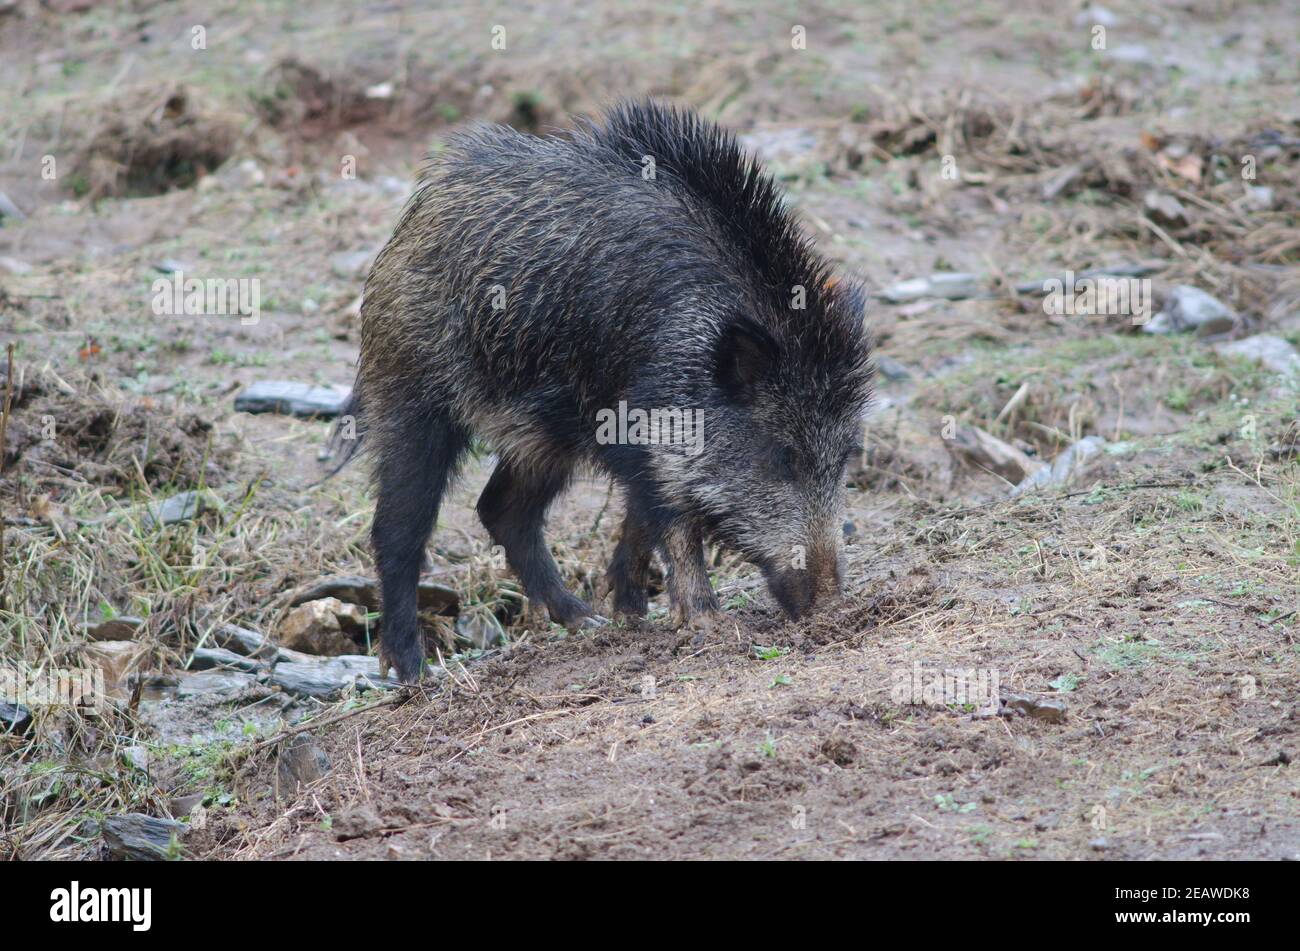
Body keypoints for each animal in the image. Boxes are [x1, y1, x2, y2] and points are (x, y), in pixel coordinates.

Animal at [332, 100, 873, 682]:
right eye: (781, 456)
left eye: (845, 456)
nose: (829, 609)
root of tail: (414, 216)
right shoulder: (645, 429)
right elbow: (673, 524)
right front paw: (708, 624)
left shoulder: (637, 443)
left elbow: (641, 521)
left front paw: (631, 615)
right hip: (413, 399)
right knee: (398, 531)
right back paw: (411, 672)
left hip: (543, 435)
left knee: (501, 509)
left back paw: (582, 619)